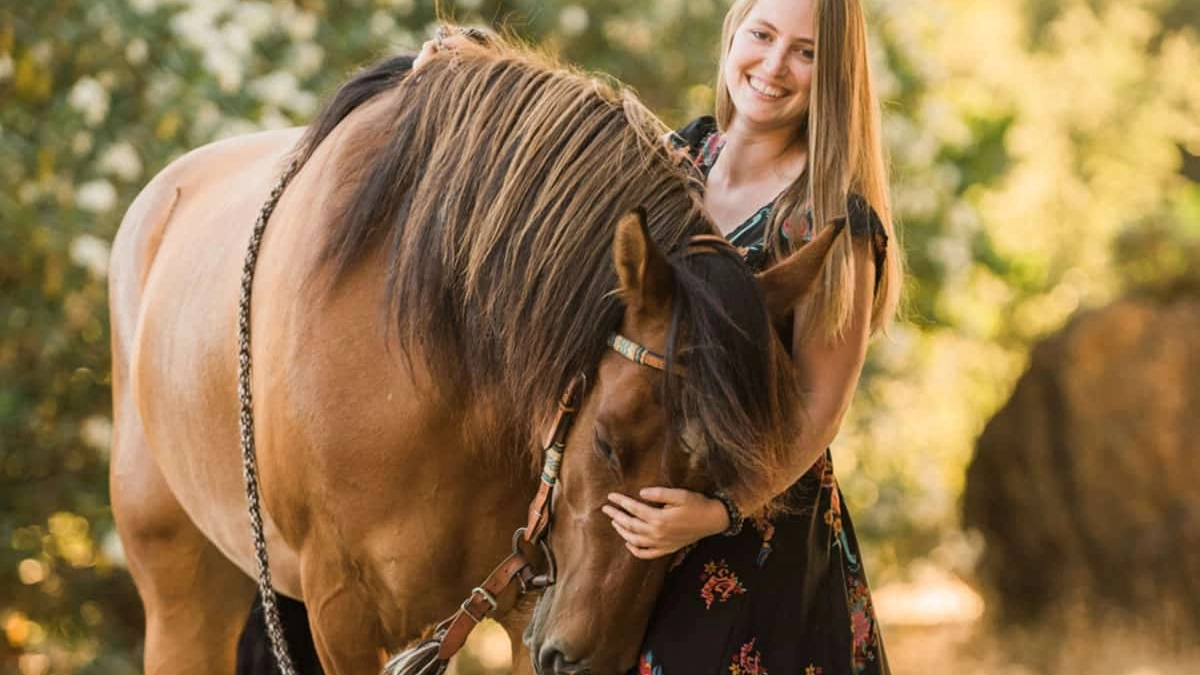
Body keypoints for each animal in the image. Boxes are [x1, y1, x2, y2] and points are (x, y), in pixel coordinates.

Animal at [108, 42, 843, 675]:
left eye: (720, 477)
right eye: (607, 444)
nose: (586, 660)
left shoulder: (519, 597)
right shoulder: (342, 612)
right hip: (184, 595)